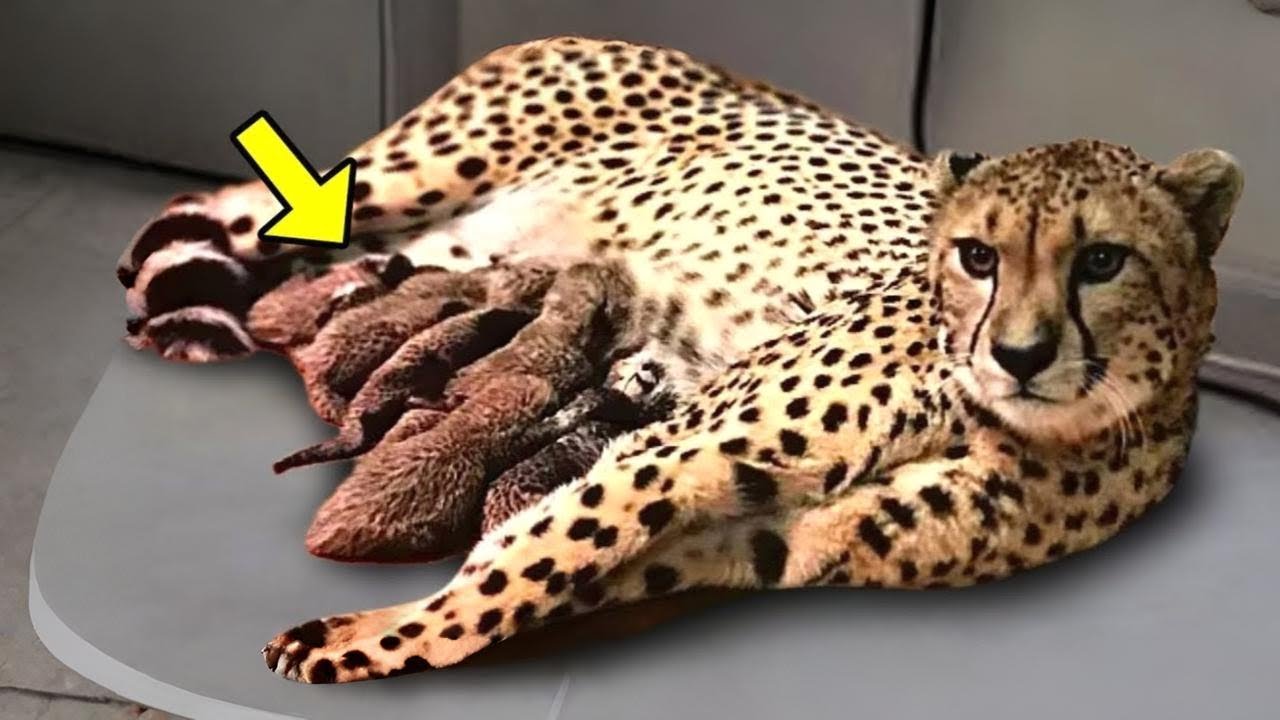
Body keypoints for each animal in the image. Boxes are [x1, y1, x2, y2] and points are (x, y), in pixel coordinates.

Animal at [112, 36, 1242, 683]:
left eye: (1100, 260)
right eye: (975, 254)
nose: (1015, 352)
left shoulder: (773, 540)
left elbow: (549, 573)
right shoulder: (671, 452)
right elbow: (523, 561)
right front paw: (360, 642)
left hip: (451, 244)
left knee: (321, 266)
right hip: (414, 170)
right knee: (232, 204)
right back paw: (177, 315)